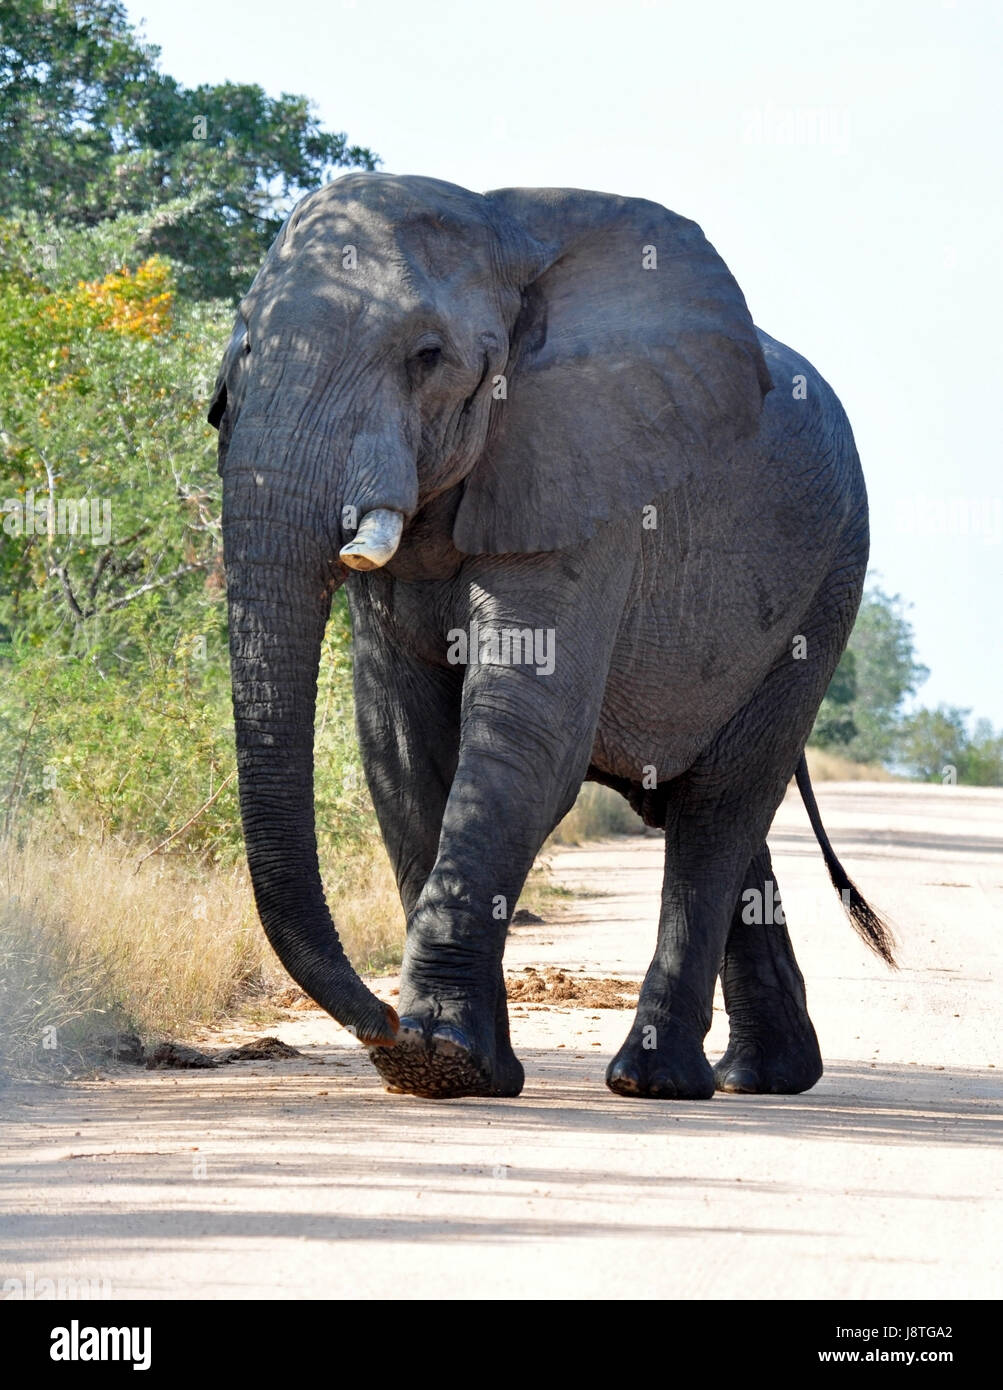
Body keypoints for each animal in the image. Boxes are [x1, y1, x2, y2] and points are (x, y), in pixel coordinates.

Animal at [209, 172, 894, 1102]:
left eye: (428, 357)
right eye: (242, 349)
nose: (378, 1020)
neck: (504, 233)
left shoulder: (591, 476)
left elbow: (527, 734)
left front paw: (434, 1059)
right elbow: (401, 746)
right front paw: (449, 1066)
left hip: (828, 582)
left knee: (721, 805)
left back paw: (653, 1080)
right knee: (700, 803)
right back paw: (761, 1077)